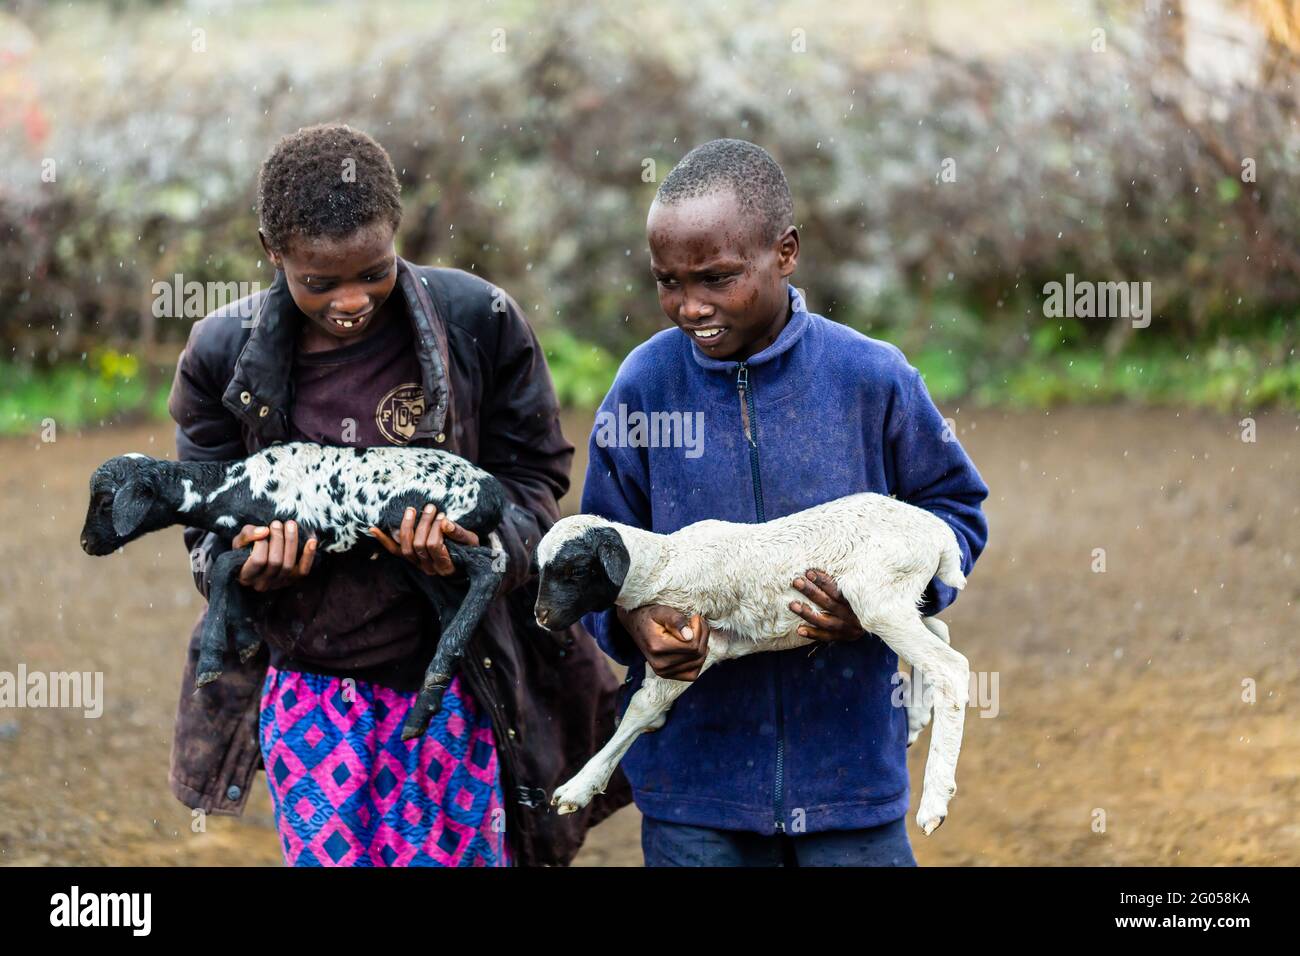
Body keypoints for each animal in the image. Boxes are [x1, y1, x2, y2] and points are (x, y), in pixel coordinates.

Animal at [80, 443, 507, 740]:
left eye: (105, 501)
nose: (85, 543)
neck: (231, 487)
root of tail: (494, 493)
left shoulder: (303, 538)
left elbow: (221, 566)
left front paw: (211, 662)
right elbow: (226, 565)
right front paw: (247, 641)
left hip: (424, 523)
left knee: (488, 570)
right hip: (412, 550)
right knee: (450, 602)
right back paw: (425, 704)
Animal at [532, 492, 972, 835]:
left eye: (575, 570)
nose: (541, 616)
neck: (662, 562)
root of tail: (940, 535)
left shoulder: (695, 632)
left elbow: (641, 706)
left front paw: (577, 787)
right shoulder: (707, 646)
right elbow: (645, 707)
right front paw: (583, 785)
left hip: (876, 598)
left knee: (951, 667)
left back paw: (934, 801)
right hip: (897, 601)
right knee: (940, 631)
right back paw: (915, 718)